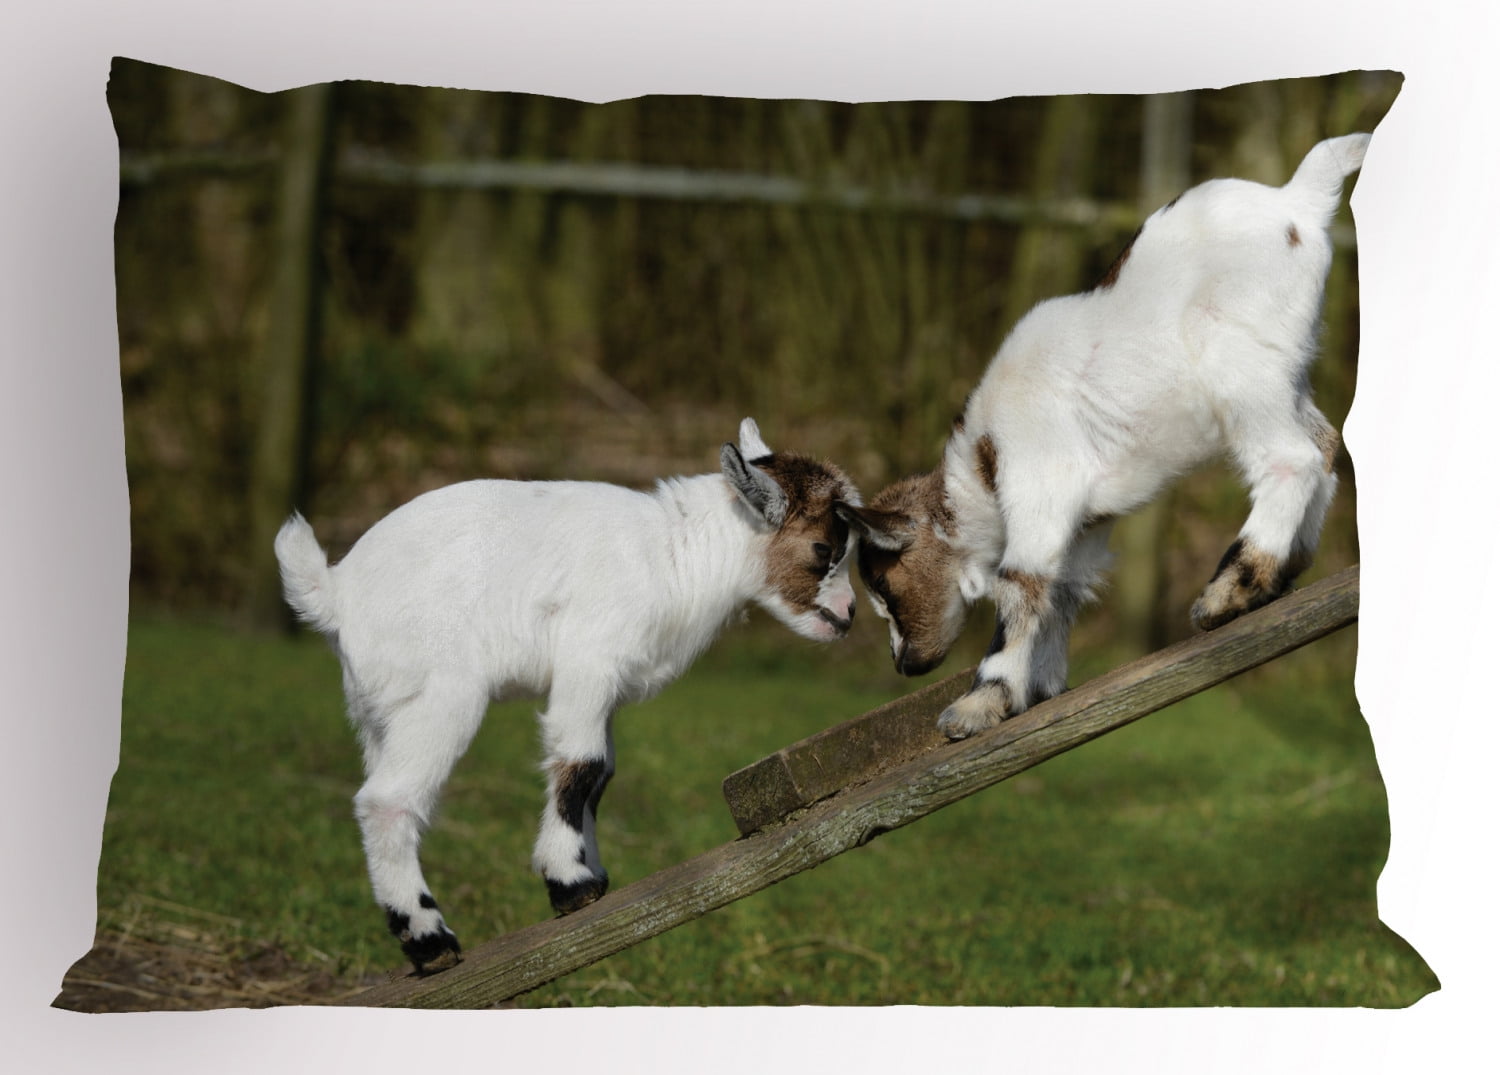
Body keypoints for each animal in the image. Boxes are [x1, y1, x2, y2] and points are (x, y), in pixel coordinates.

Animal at [274, 418, 860, 973]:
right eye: (823, 548)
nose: (850, 614)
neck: (676, 554)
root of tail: (335, 592)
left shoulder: (605, 686)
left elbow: (601, 776)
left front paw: (593, 878)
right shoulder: (589, 660)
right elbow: (581, 762)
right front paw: (570, 884)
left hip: (379, 711)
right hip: (439, 696)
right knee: (388, 800)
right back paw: (430, 939)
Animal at [837, 134, 1369, 740]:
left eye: (885, 591)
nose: (903, 664)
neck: (982, 464)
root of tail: (1296, 201)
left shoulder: (1038, 489)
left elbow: (1020, 587)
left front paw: (979, 704)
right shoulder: (1087, 526)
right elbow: (1063, 591)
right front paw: (1040, 690)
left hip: (1236, 367)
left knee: (1290, 459)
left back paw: (1229, 592)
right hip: (1286, 373)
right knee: (1323, 445)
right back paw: (1282, 572)